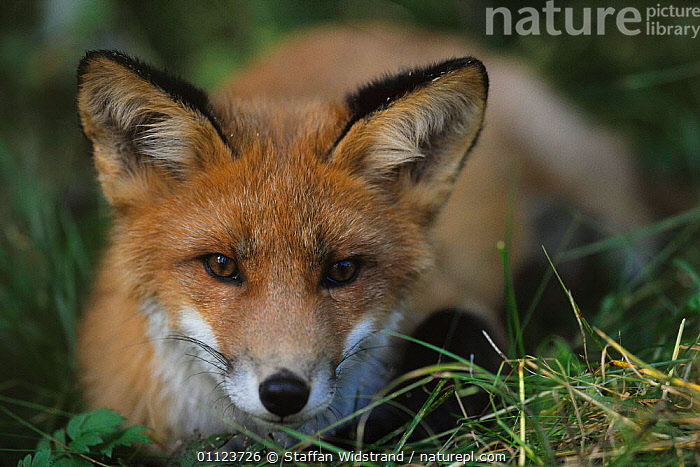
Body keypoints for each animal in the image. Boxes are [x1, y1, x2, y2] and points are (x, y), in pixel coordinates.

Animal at [76, 24, 650, 448]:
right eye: (221, 265)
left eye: (342, 270)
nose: (284, 392)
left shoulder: (458, 303)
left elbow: (455, 361)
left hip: (578, 170)